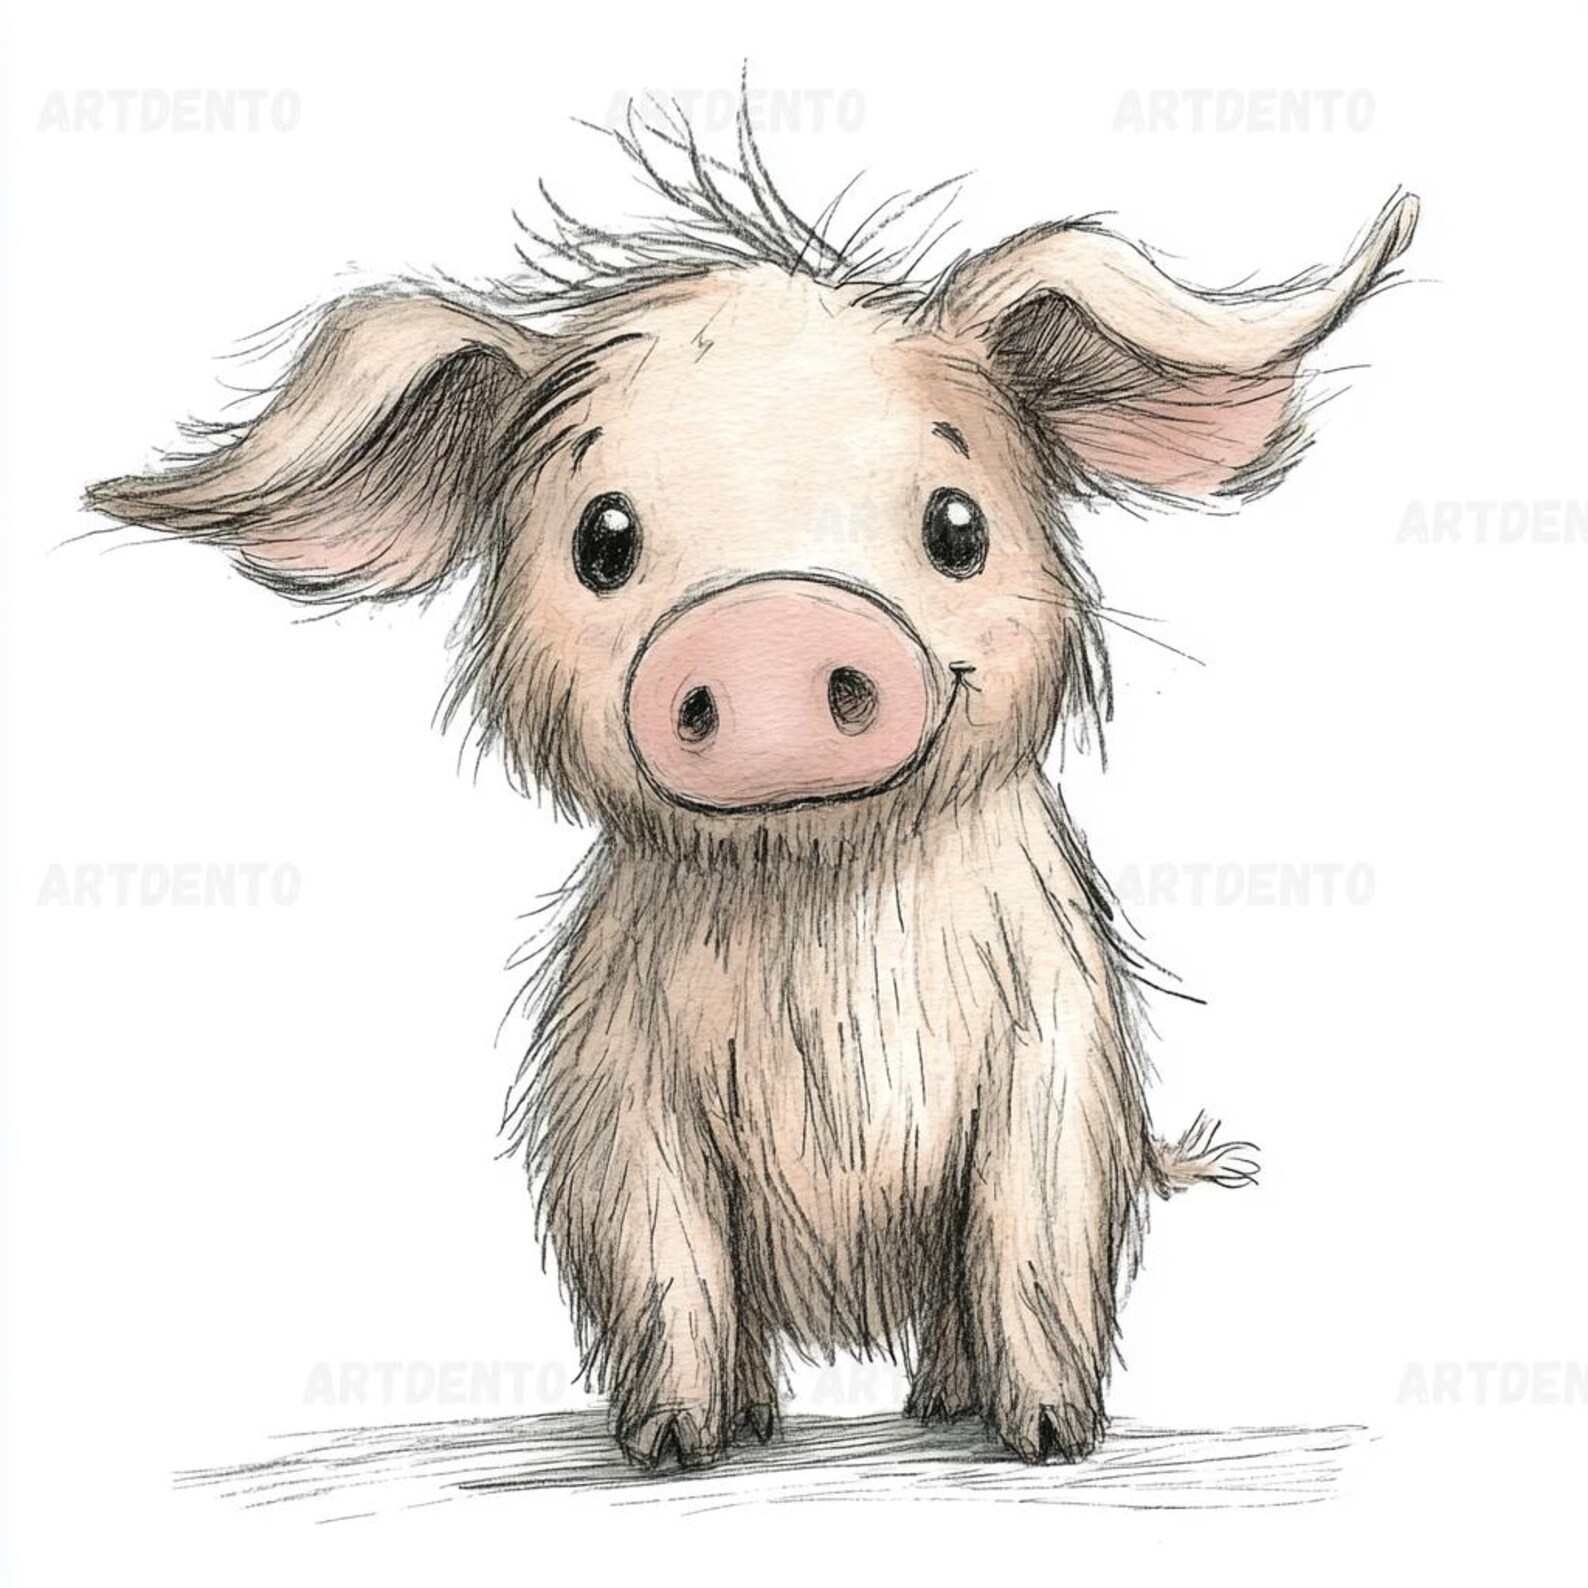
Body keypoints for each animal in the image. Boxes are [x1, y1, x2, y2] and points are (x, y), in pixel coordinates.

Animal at [87, 108, 1415, 1469]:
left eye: (956, 523)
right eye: (603, 539)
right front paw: (668, 1447)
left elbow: (1032, 1231)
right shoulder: (610, 1077)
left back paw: (947, 1409)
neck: (820, 910)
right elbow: (663, 1252)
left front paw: (1053, 1441)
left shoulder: (1059, 1038)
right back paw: (764, 1421)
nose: (771, 629)